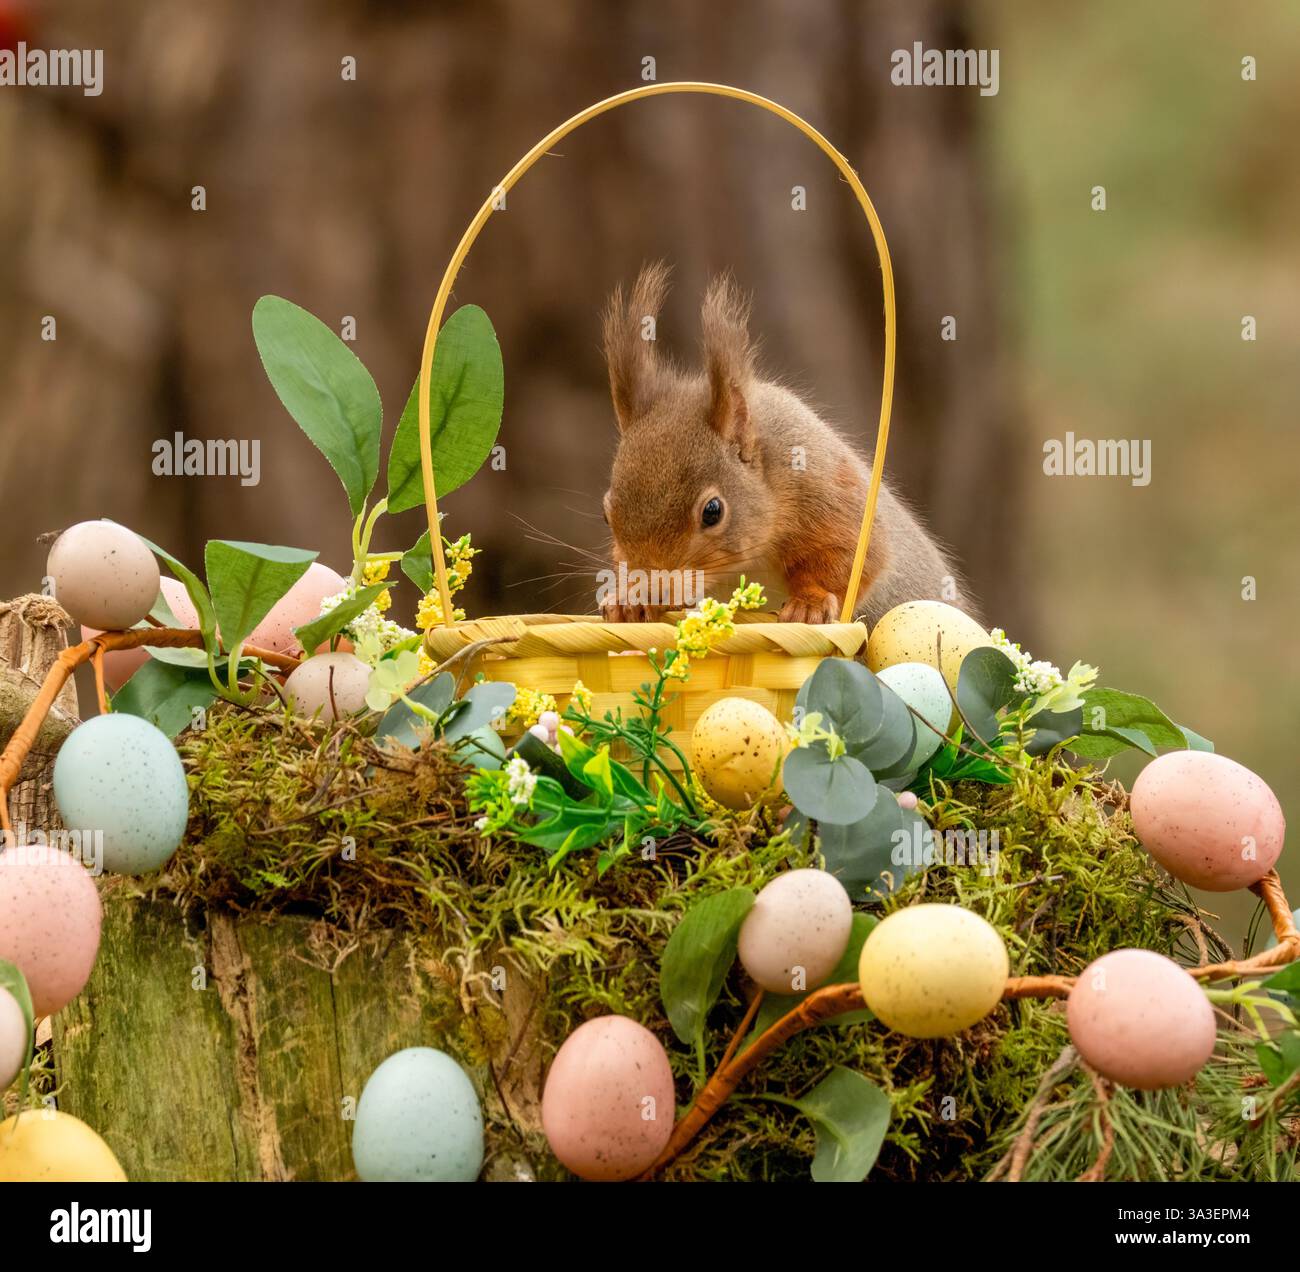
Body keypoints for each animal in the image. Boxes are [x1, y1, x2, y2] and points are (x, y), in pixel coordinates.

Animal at [598, 262, 975, 626]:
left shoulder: (825, 491)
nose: (654, 587)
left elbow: (855, 553)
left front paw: (810, 605)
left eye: (713, 511)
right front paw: (627, 601)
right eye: (606, 513)